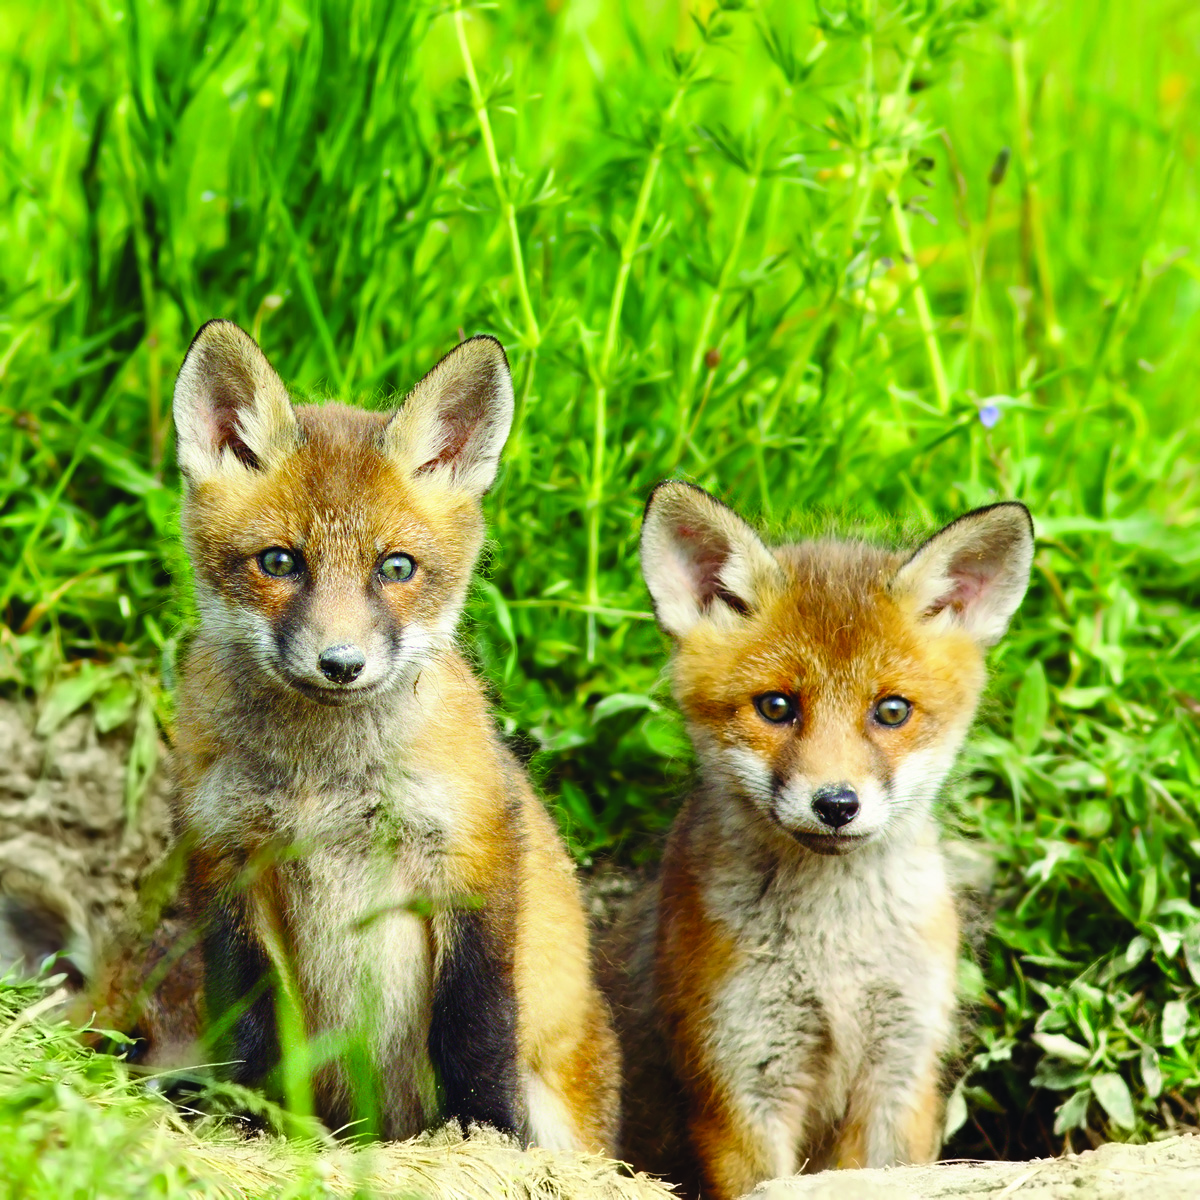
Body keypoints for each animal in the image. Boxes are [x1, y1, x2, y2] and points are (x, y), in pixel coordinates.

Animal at [169, 319, 619, 1149]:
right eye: (280, 561)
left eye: (396, 568)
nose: (341, 664)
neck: (323, 784)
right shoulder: (227, 867)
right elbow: (249, 1030)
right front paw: (246, 1121)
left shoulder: (473, 857)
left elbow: (476, 1028)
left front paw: (484, 1134)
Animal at [601, 482, 1034, 1199]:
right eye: (776, 707)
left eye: (891, 711)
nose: (835, 805)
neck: (836, 958)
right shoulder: (740, 1082)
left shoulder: (901, 1072)